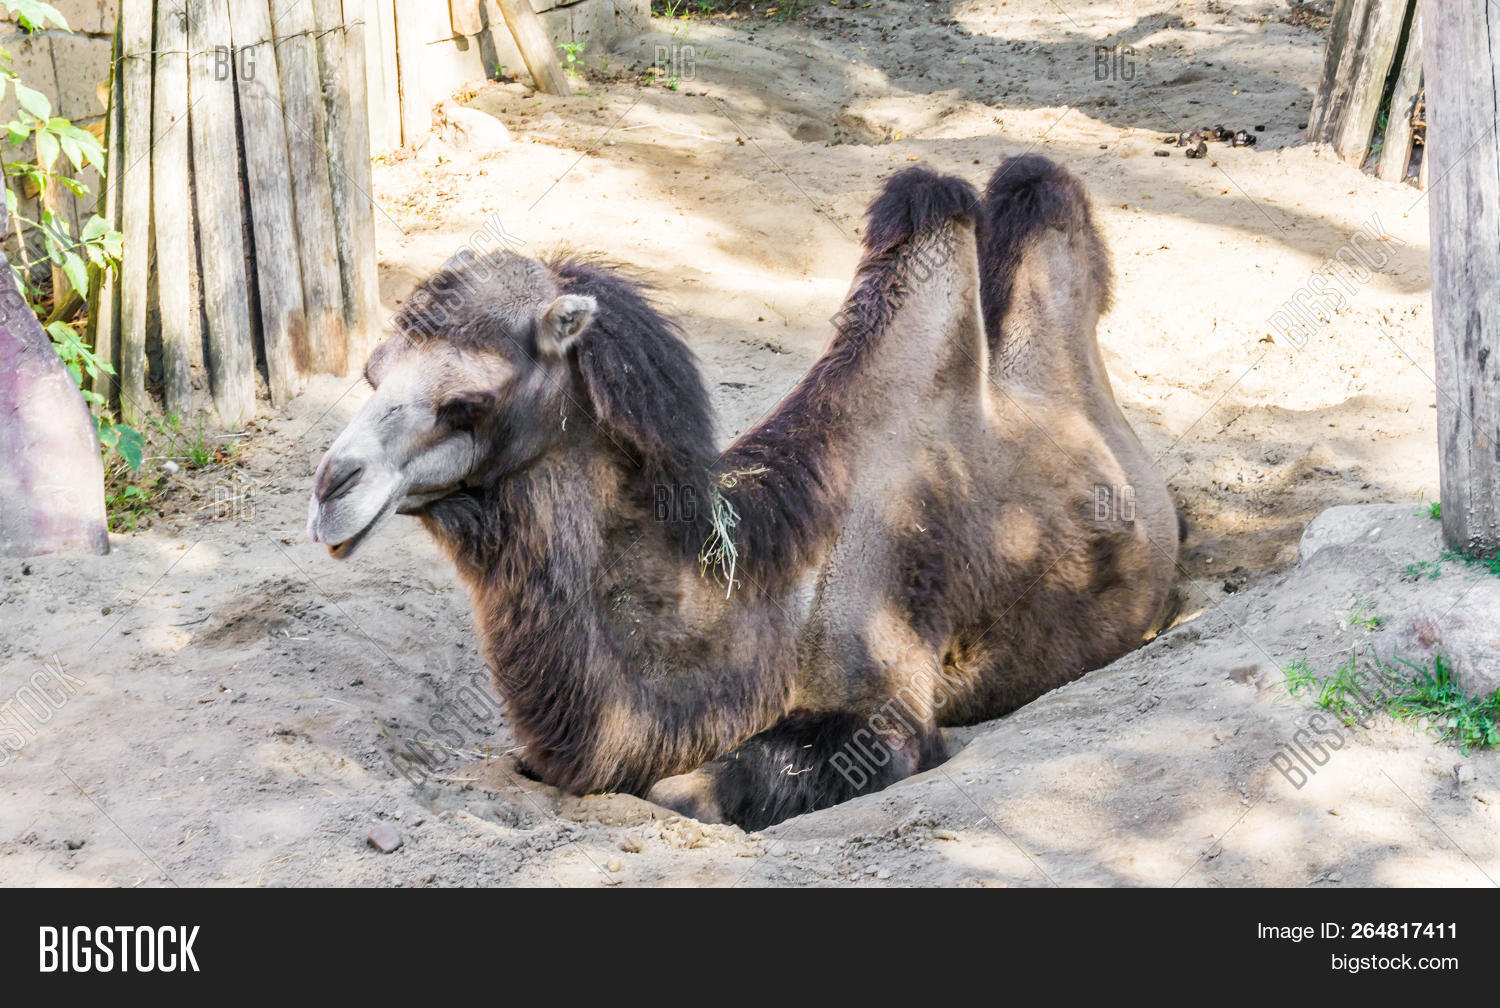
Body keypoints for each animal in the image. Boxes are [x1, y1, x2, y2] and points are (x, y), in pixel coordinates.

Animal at [307, 156, 1180, 830]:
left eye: (469, 402)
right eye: (373, 372)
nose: (330, 489)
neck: (764, 584)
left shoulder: (889, 714)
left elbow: (682, 793)